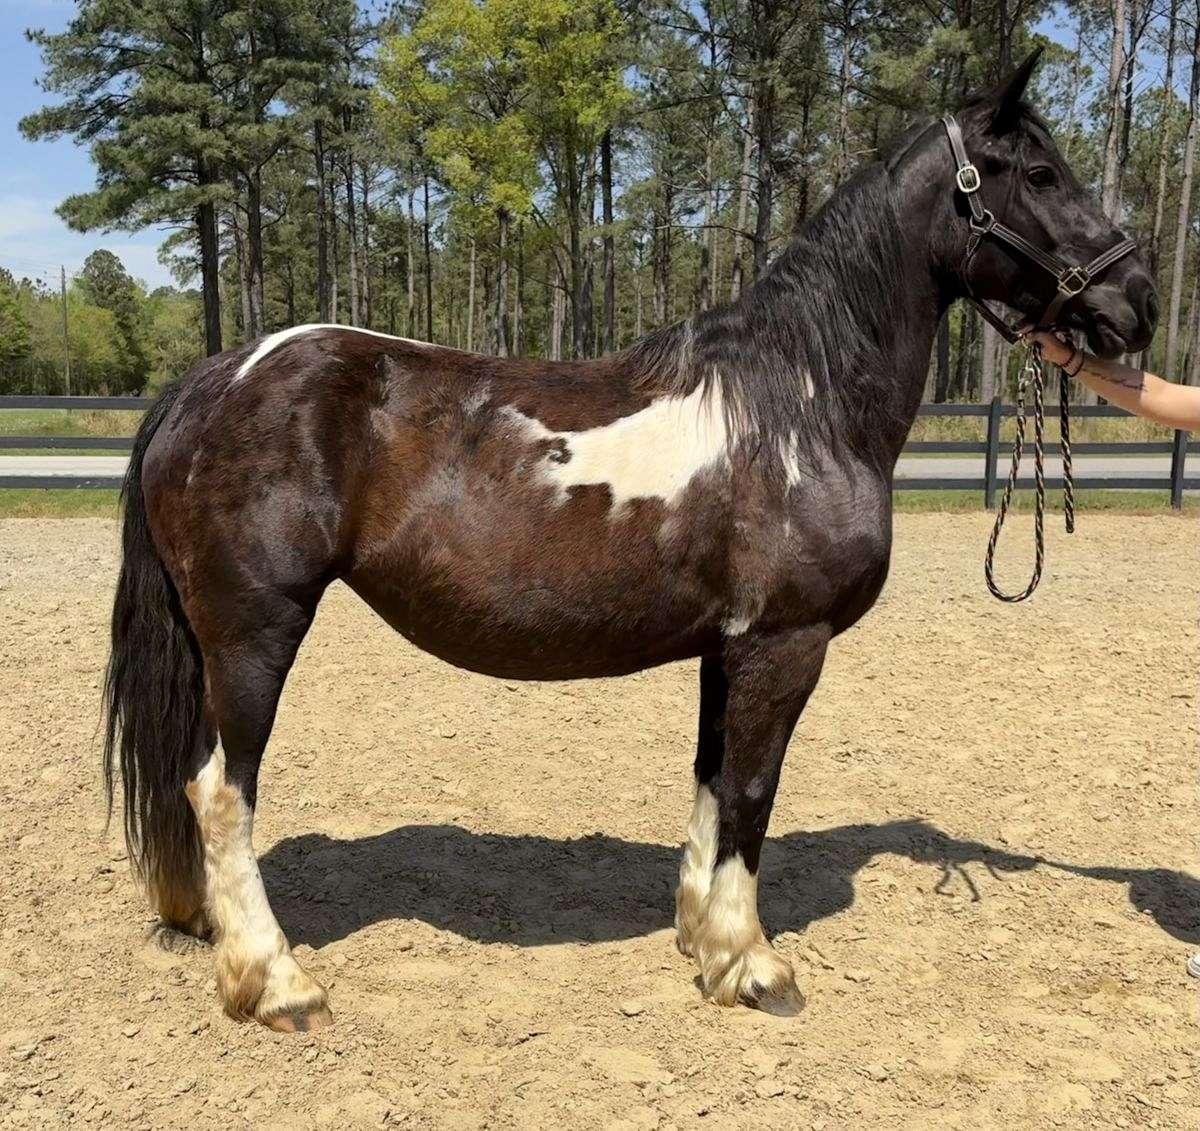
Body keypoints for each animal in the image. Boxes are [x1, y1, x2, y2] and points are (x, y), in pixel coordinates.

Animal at [103, 53, 1156, 1032]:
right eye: (1038, 171)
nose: (1137, 300)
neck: (798, 403)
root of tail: (212, 379)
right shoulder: (788, 642)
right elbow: (754, 793)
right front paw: (752, 966)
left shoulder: (730, 648)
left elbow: (713, 781)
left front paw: (702, 937)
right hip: (255, 633)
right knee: (222, 790)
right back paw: (276, 982)